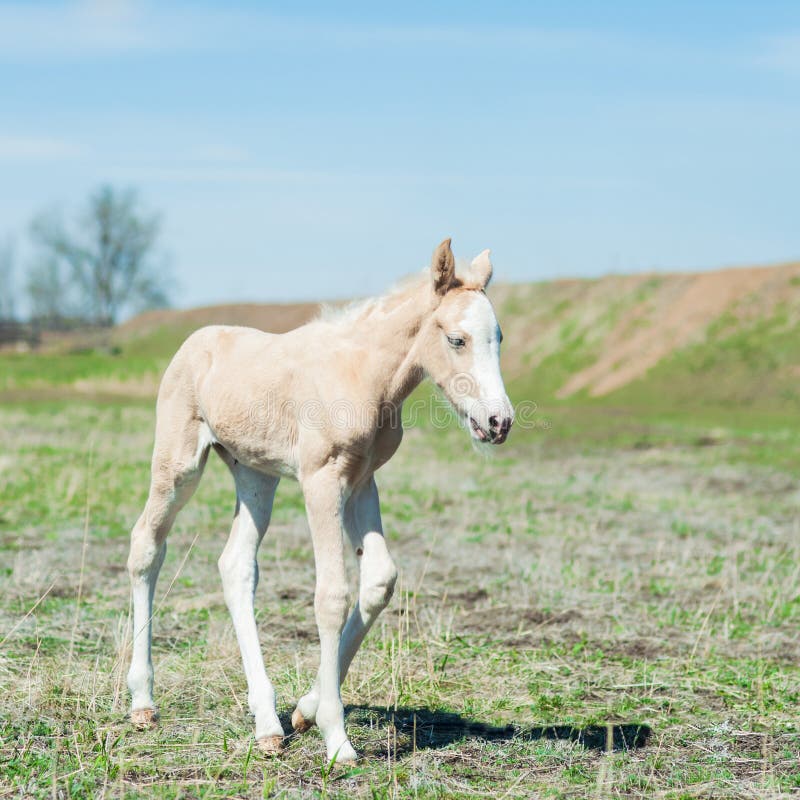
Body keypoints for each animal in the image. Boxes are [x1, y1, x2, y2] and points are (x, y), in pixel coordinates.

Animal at [126, 238, 514, 763]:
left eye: (498, 338)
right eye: (457, 340)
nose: (499, 422)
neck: (363, 376)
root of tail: (195, 341)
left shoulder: (362, 480)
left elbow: (379, 580)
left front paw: (305, 711)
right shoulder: (322, 480)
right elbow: (331, 594)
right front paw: (336, 736)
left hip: (256, 477)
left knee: (236, 566)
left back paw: (267, 723)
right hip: (178, 466)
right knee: (147, 546)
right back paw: (143, 701)